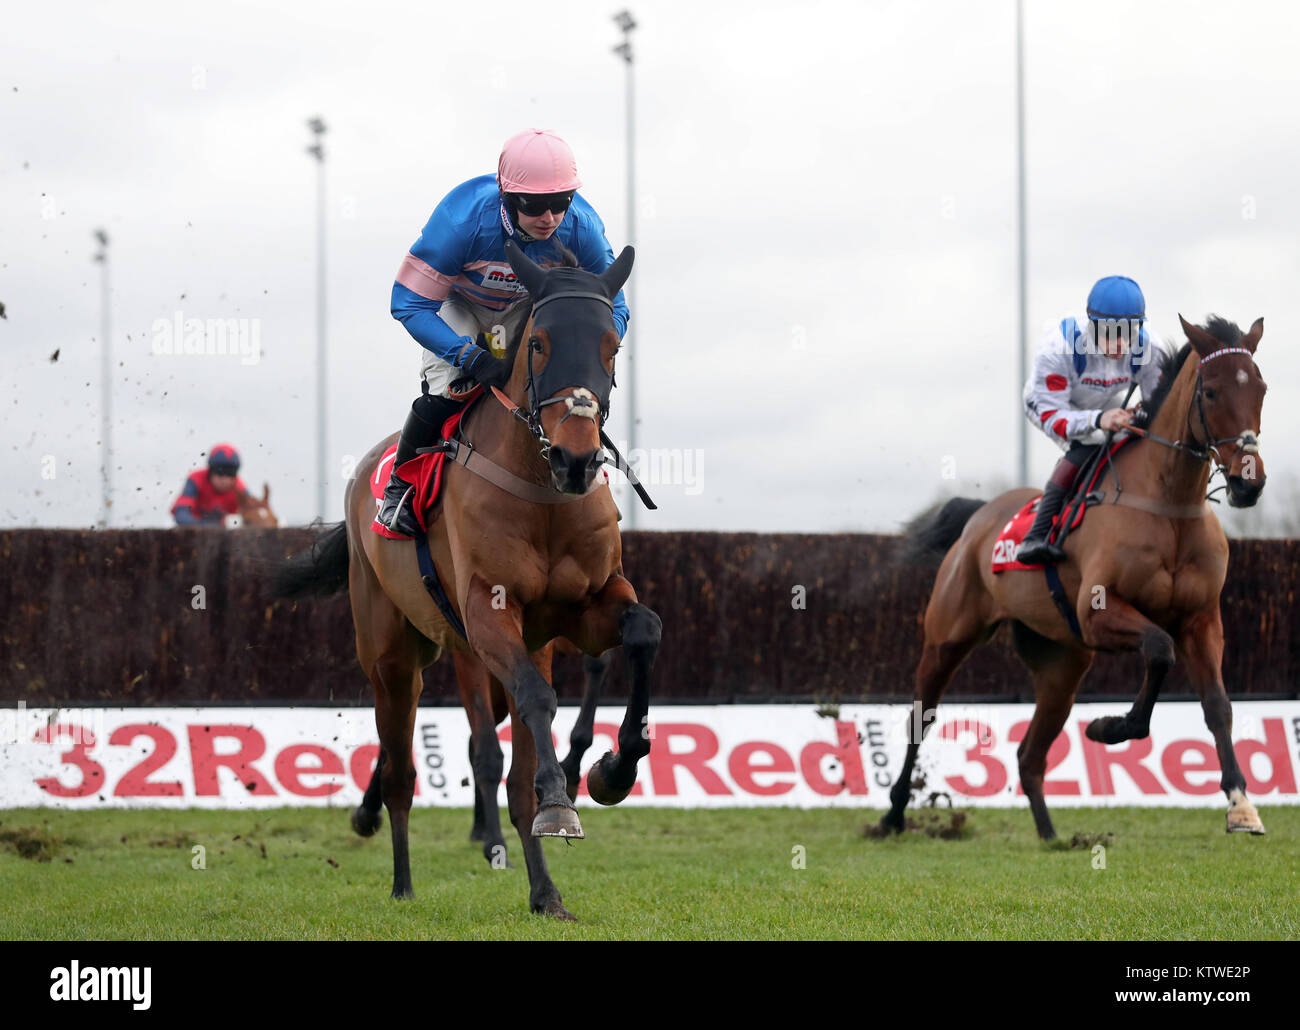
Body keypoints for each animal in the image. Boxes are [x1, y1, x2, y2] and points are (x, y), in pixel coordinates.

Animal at [275, 241, 659, 920]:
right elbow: (531, 705)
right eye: (540, 344)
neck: (540, 489)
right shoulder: (486, 617)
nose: (577, 459)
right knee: (402, 769)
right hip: (393, 653)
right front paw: (561, 804)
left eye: (612, 344)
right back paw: (401, 879)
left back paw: (543, 888)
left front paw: (612, 772)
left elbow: (643, 630)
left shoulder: (586, 610)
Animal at [882, 315, 1269, 840]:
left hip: (1061, 664)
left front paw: (1240, 804)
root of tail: (978, 518)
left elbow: (1217, 705)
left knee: (1029, 753)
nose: (1250, 483)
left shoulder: (1202, 620)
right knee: (921, 718)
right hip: (948, 638)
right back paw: (892, 814)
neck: (1168, 507)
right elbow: (1159, 649)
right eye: (1209, 392)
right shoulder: (1096, 614)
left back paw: (1051, 837)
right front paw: (1108, 727)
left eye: (1262, 389)